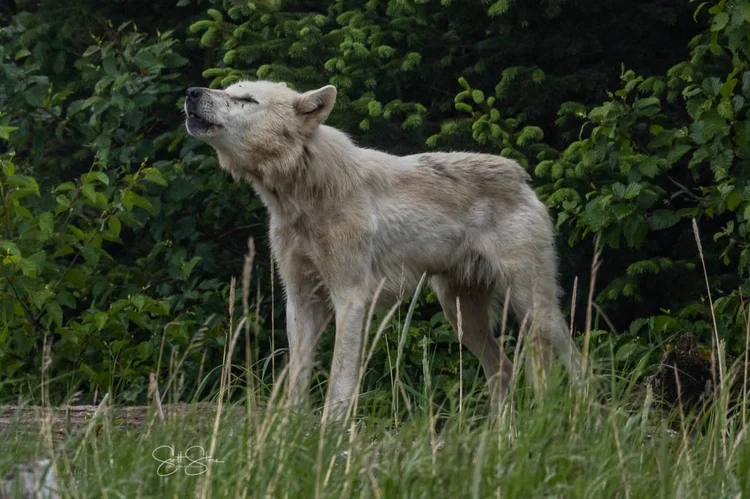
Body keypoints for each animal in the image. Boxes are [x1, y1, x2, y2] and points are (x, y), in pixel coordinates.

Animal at [184, 80, 582, 422]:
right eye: (228, 89)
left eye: (247, 99)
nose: (191, 92)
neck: (303, 195)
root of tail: (522, 178)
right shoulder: (300, 300)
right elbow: (298, 376)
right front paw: (286, 429)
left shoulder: (350, 298)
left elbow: (340, 381)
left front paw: (330, 434)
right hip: (463, 319)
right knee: (504, 370)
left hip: (534, 309)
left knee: (576, 361)